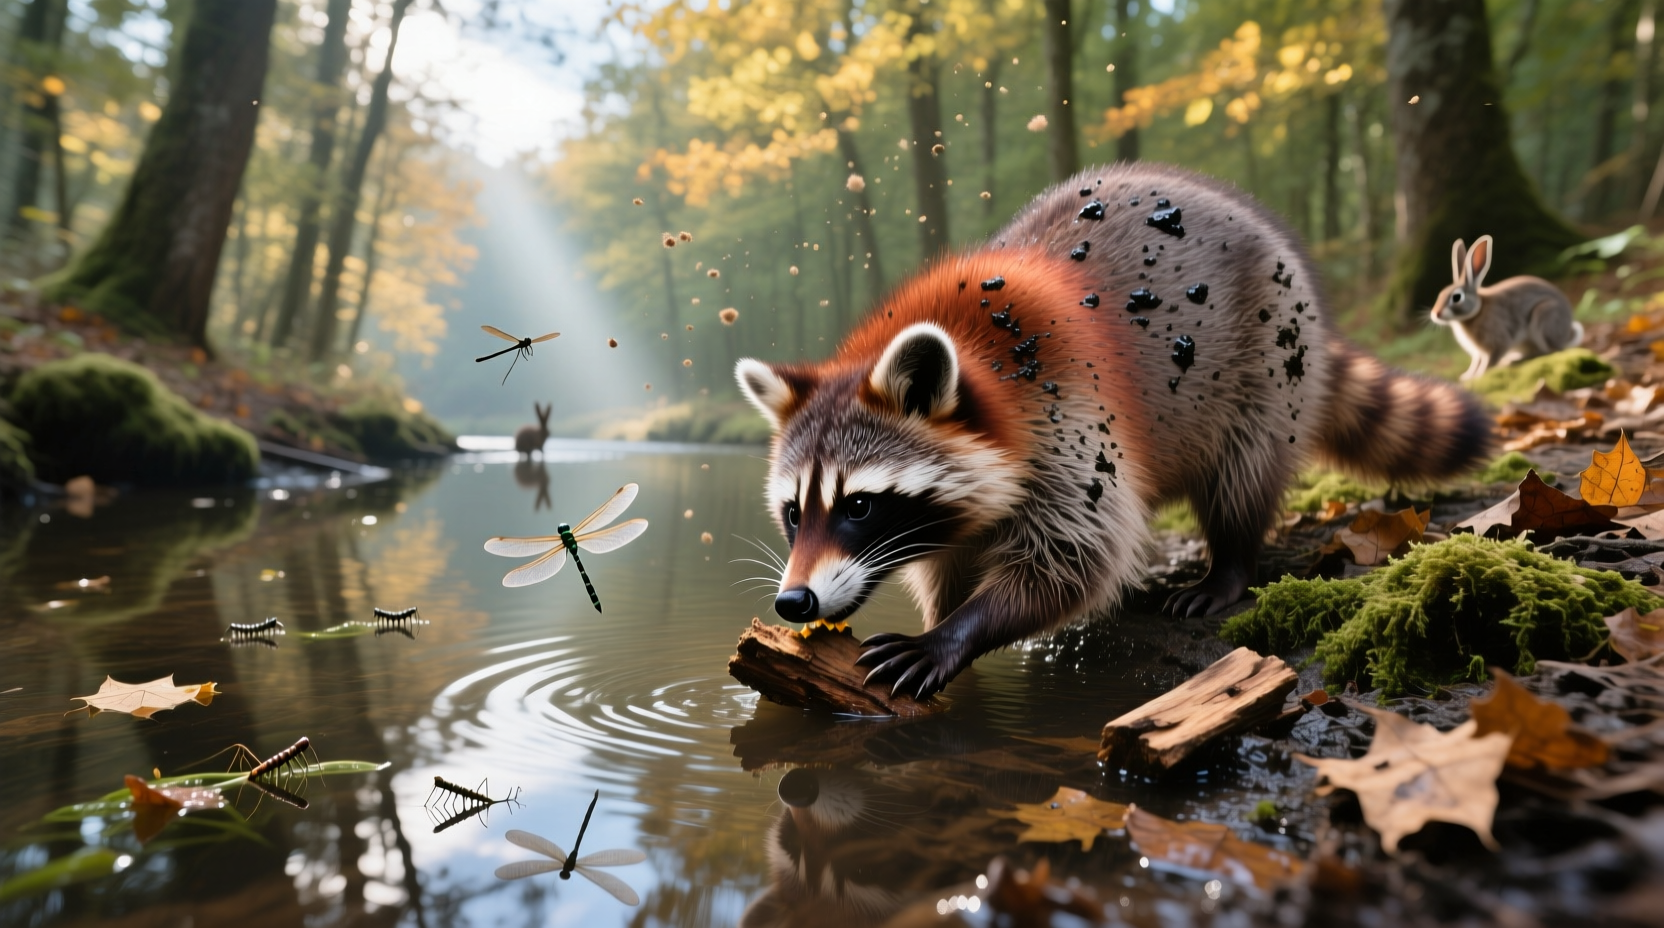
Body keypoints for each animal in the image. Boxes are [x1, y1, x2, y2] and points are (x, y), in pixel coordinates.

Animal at [736, 163, 1491, 700]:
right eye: (794, 512)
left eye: (860, 505)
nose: (794, 600)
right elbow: (950, 561)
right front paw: (943, 616)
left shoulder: (1068, 422)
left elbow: (1075, 560)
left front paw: (957, 633)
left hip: (1270, 364)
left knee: (1242, 474)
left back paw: (1230, 562)